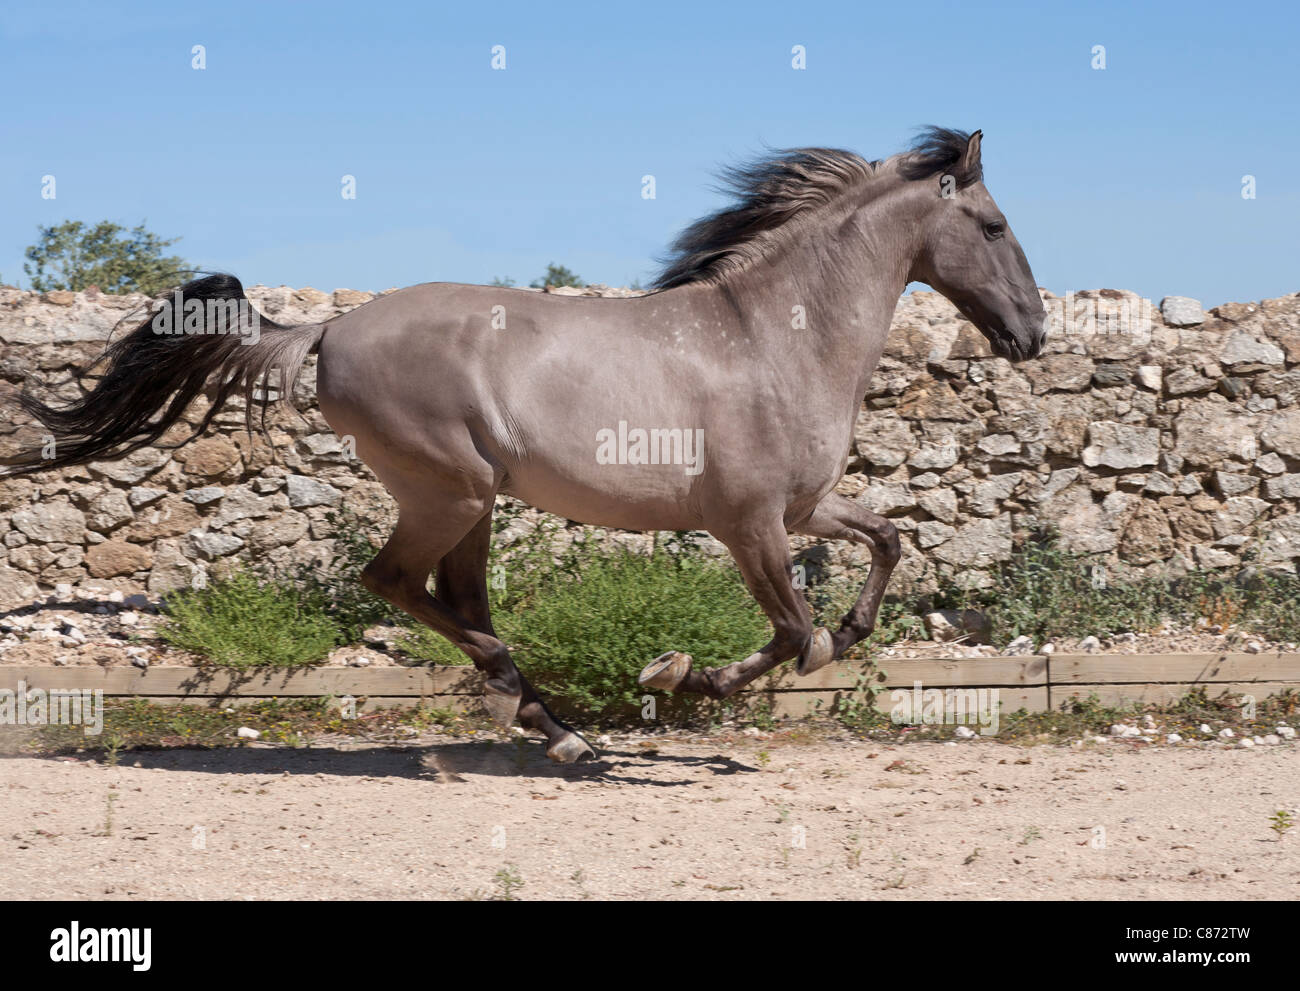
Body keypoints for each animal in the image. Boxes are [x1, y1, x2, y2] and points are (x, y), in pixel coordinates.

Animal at [10, 127, 1046, 762]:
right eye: (994, 224)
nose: (1032, 333)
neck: (770, 336)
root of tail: (329, 331)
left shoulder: (803, 507)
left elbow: (887, 542)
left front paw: (840, 635)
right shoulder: (750, 522)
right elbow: (793, 633)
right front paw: (682, 675)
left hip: (474, 498)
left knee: (453, 594)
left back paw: (551, 724)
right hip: (452, 489)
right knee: (396, 582)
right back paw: (546, 716)